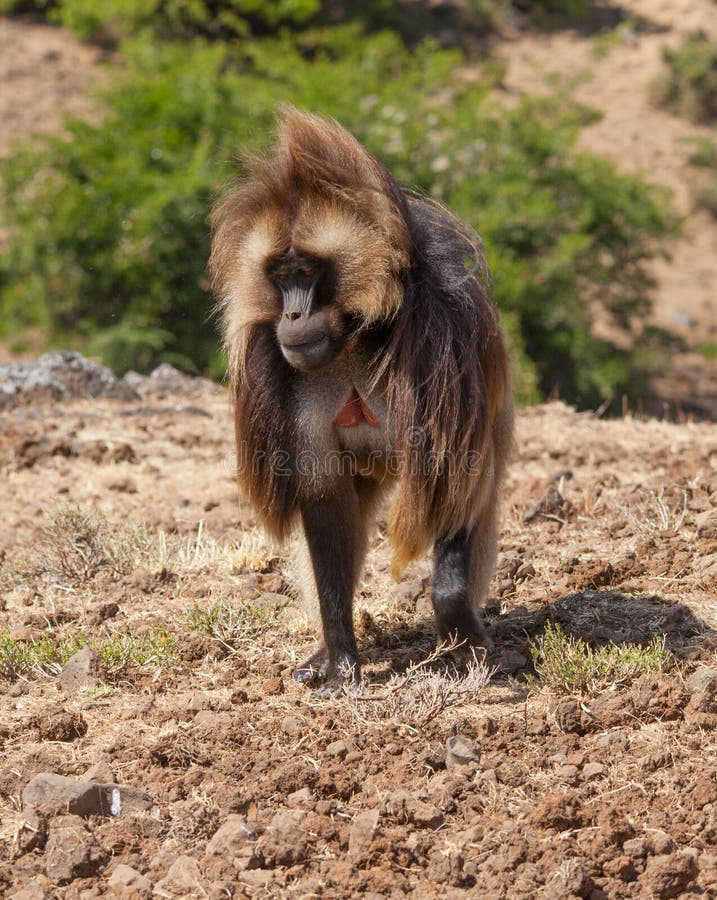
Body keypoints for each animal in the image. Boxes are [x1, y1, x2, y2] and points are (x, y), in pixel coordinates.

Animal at [209, 107, 514, 694]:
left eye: (307, 273)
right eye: (280, 276)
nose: (293, 316)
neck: (358, 335)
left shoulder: (443, 335)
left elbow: (454, 476)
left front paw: (466, 644)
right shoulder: (290, 377)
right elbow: (323, 503)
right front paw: (342, 662)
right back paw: (320, 654)